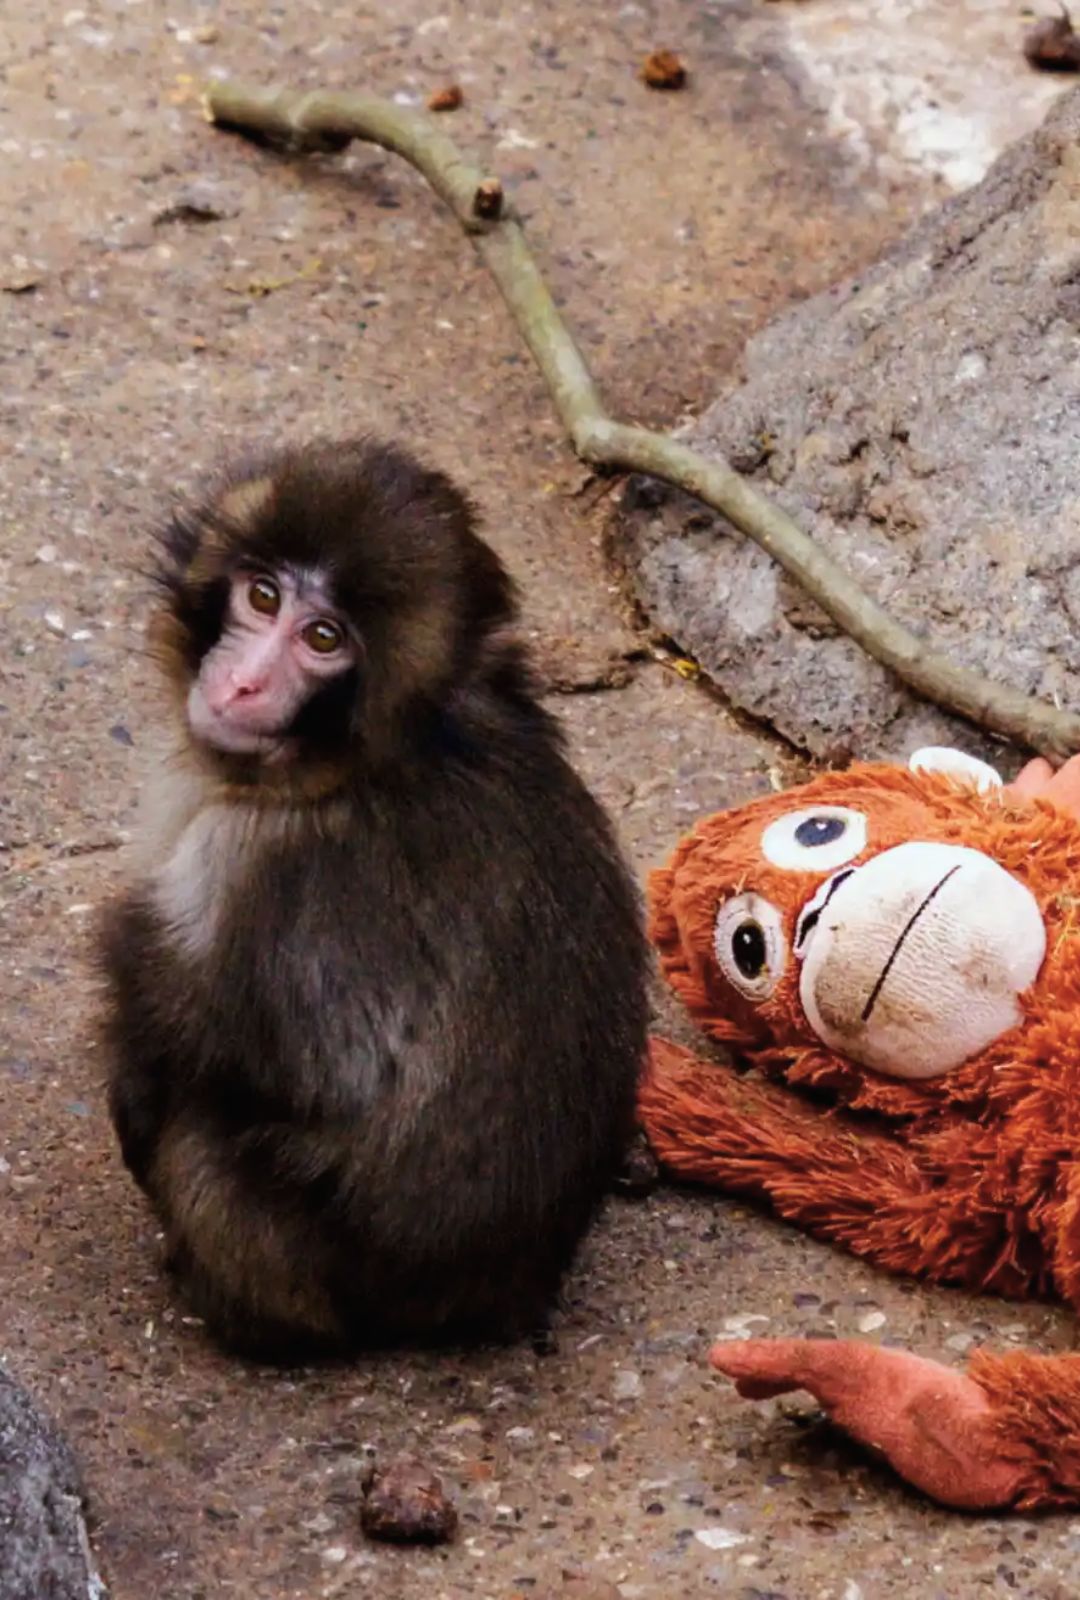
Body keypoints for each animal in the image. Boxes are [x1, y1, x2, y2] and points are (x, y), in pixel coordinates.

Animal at [99, 436, 649, 1363]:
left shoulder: (258, 863)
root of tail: (507, 1292)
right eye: (262, 595)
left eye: (323, 639)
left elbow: (286, 1066)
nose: (243, 685)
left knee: (200, 1135)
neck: (368, 760)